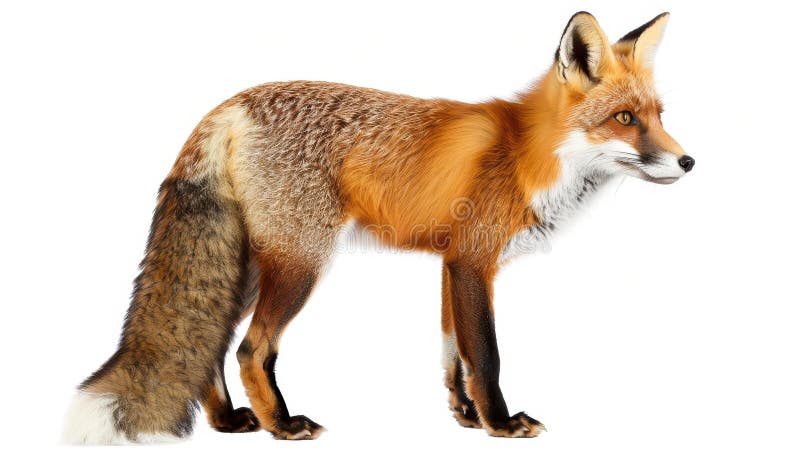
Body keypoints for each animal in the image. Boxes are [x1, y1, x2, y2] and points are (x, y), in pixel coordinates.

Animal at [62, 11, 693, 443]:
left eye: (659, 115)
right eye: (624, 118)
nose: (688, 162)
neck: (527, 156)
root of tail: (227, 107)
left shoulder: (449, 264)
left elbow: (454, 355)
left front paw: (464, 416)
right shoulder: (474, 261)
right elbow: (486, 355)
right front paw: (500, 423)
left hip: (252, 266)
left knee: (211, 344)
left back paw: (228, 421)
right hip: (301, 263)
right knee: (249, 349)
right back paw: (283, 425)